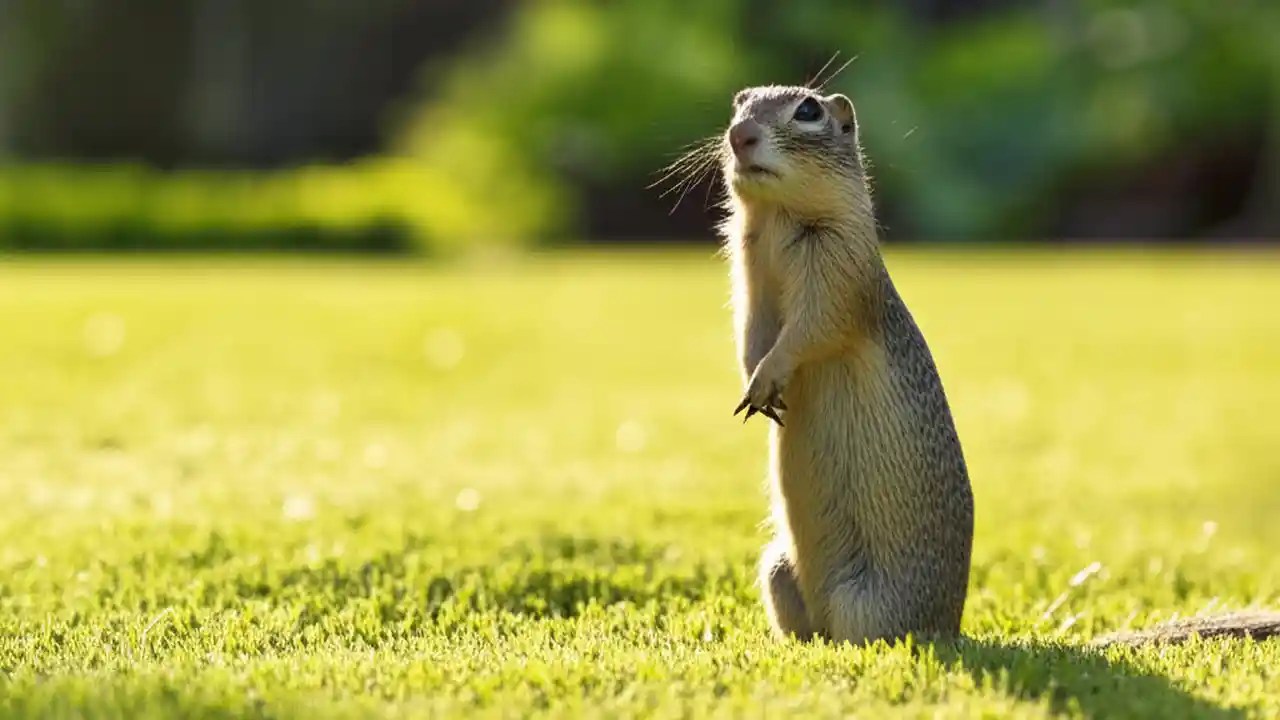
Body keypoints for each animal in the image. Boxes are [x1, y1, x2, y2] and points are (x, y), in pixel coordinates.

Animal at [679, 83, 1280, 648]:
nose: (740, 135)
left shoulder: (839, 276)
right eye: (738, 103)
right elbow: (750, 334)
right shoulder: (749, 275)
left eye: (808, 110)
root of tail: (951, 629)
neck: (778, 221)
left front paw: (770, 375)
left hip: (863, 605)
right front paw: (755, 380)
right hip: (778, 570)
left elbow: (812, 329)